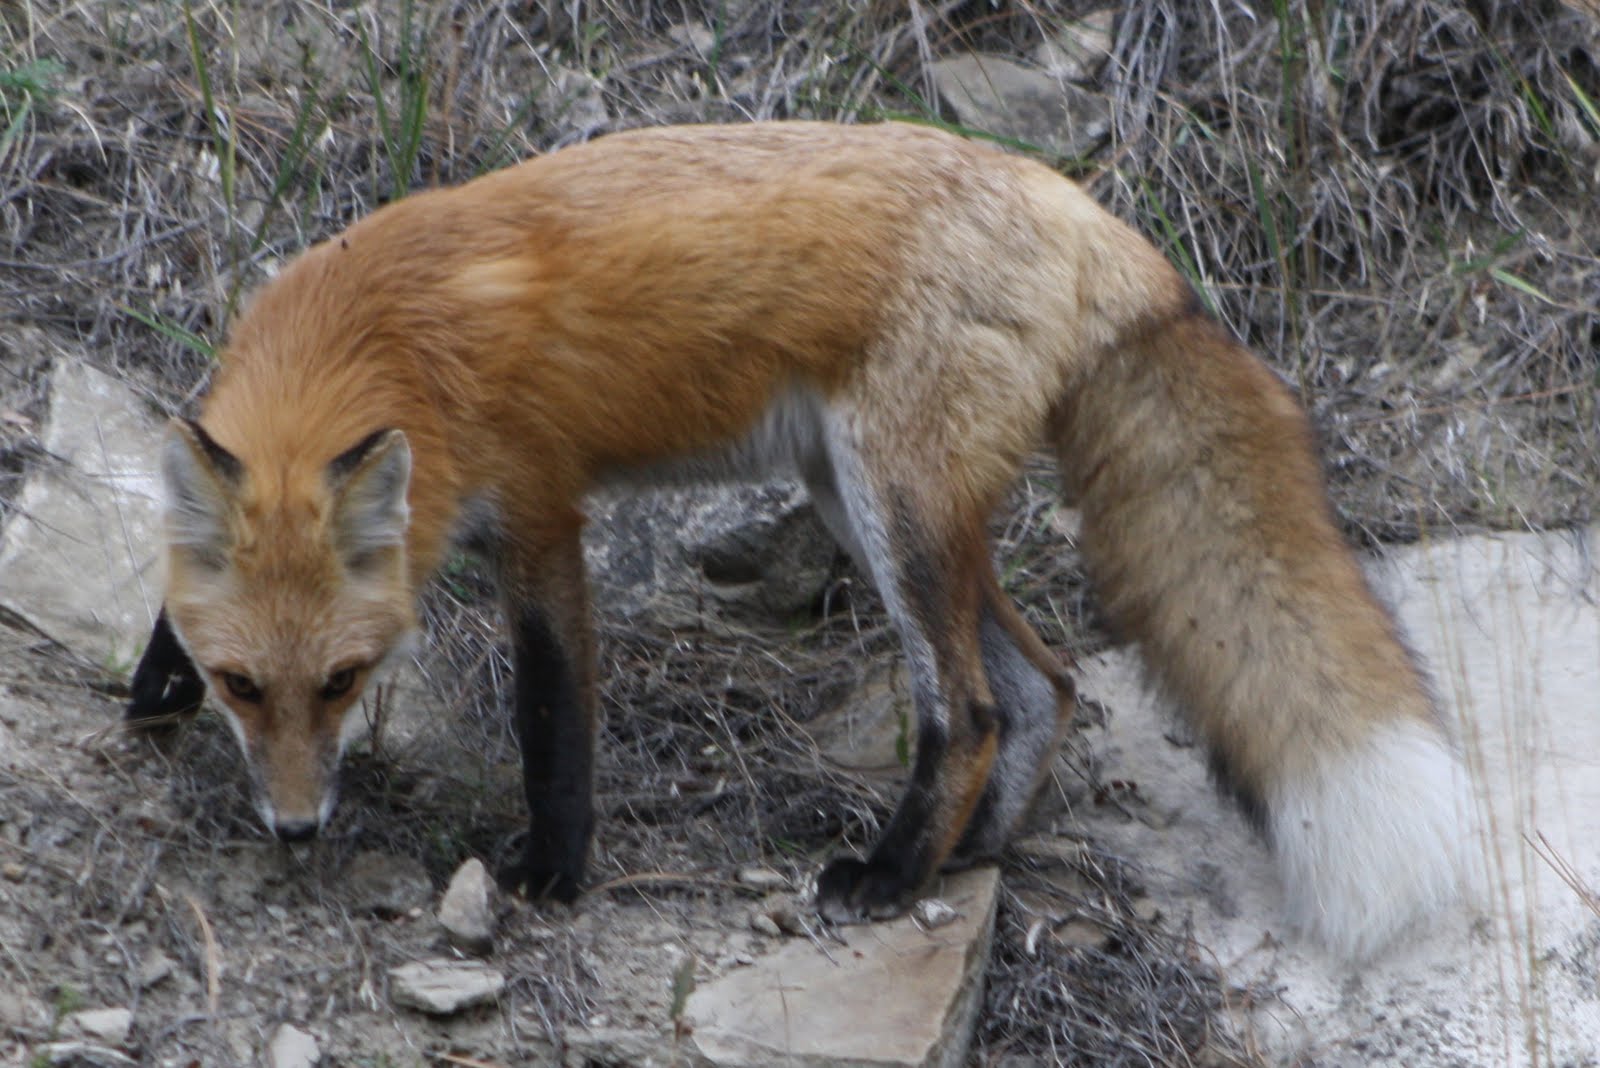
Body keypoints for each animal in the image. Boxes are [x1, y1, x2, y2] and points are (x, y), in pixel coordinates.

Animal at [125, 120, 1468, 959]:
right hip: (856, 501)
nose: (296, 832)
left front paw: (553, 869)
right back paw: (968, 858)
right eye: (245, 686)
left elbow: (552, 716)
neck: (378, 333)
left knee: (971, 707)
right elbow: (175, 591)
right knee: (1043, 684)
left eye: (343, 682)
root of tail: (1088, 213)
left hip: (892, 503)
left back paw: (889, 877)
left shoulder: (542, 512)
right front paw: (149, 695)